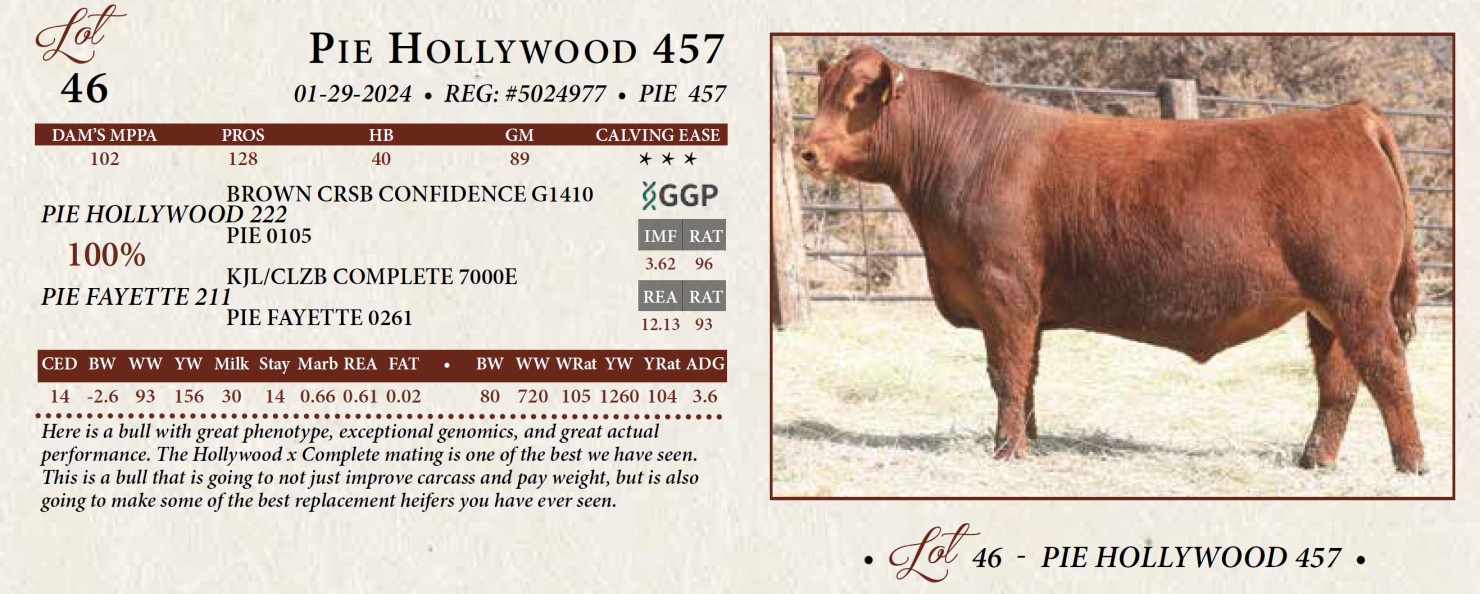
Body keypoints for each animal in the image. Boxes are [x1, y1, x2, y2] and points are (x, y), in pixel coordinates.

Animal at [797, 45, 1425, 473]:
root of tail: (1347, 115)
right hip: (1328, 307)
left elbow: (1005, 371)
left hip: (1355, 296)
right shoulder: (1027, 303)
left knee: (1386, 366)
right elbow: (1027, 372)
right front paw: (1029, 441)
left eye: (858, 96)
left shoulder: (1003, 288)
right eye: (824, 90)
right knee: (1339, 380)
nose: (806, 151)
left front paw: (1006, 450)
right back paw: (1315, 459)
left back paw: (1411, 462)